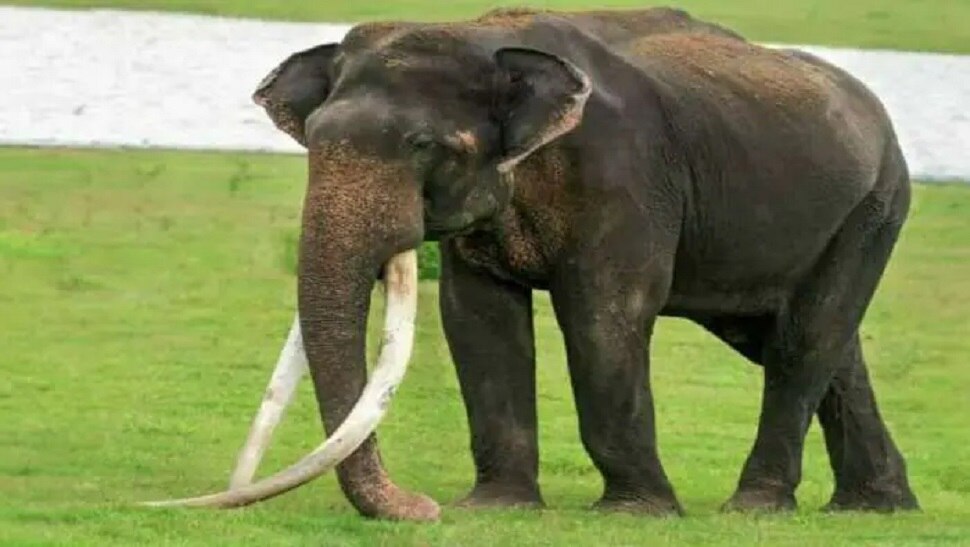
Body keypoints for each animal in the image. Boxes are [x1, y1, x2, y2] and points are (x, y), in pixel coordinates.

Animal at [147, 7, 920, 520]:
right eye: (313, 138)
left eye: (425, 146)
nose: (422, 507)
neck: (479, 36)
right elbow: (477, 319)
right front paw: (495, 508)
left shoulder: (624, 177)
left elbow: (605, 316)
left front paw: (635, 514)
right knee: (808, 343)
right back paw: (876, 507)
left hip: (876, 204)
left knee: (804, 340)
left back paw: (755, 508)